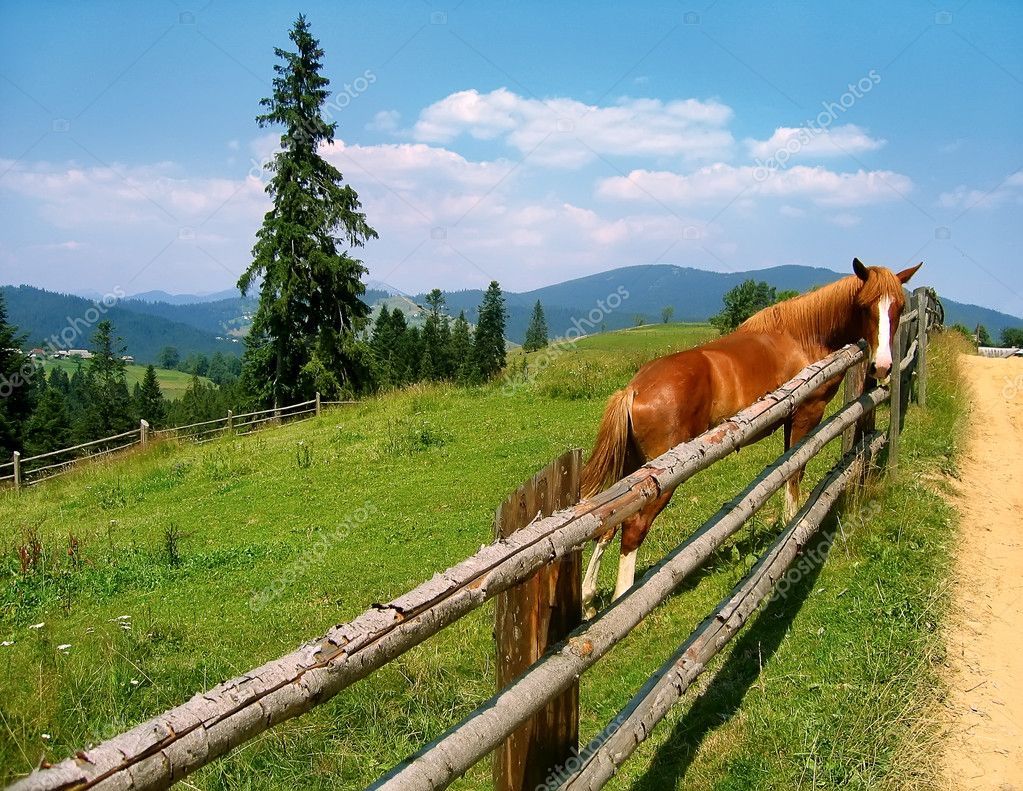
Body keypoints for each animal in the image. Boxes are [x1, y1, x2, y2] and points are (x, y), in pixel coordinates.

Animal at [579, 258, 922, 618]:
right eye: (866, 306)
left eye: (898, 307)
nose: (882, 366)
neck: (803, 336)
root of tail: (633, 390)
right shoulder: (806, 414)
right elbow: (795, 470)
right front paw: (791, 526)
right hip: (657, 481)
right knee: (633, 527)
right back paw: (621, 603)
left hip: (630, 473)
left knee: (608, 525)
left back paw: (588, 602)